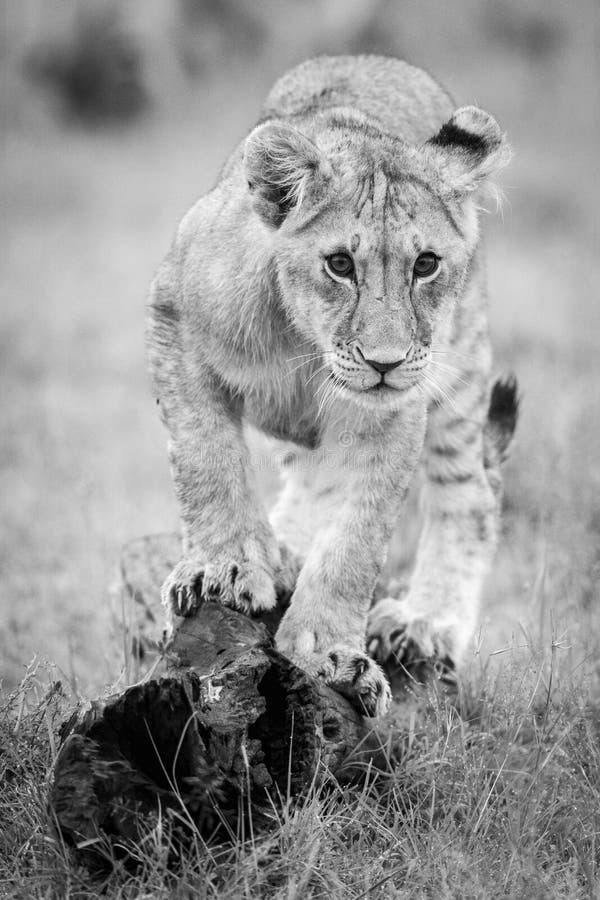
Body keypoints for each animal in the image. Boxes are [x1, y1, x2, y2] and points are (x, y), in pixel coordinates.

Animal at [146, 54, 512, 716]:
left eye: (425, 264)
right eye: (340, 264)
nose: (386, 363)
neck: (304, 345)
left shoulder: (395, 414)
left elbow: (355, 541)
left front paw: (328, 652)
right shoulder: (175, 328)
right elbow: (207, 461)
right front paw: (225, 570)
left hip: (462, 370)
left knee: (472, 494)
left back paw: (426, 622)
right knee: (307, 481)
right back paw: (282, 556)